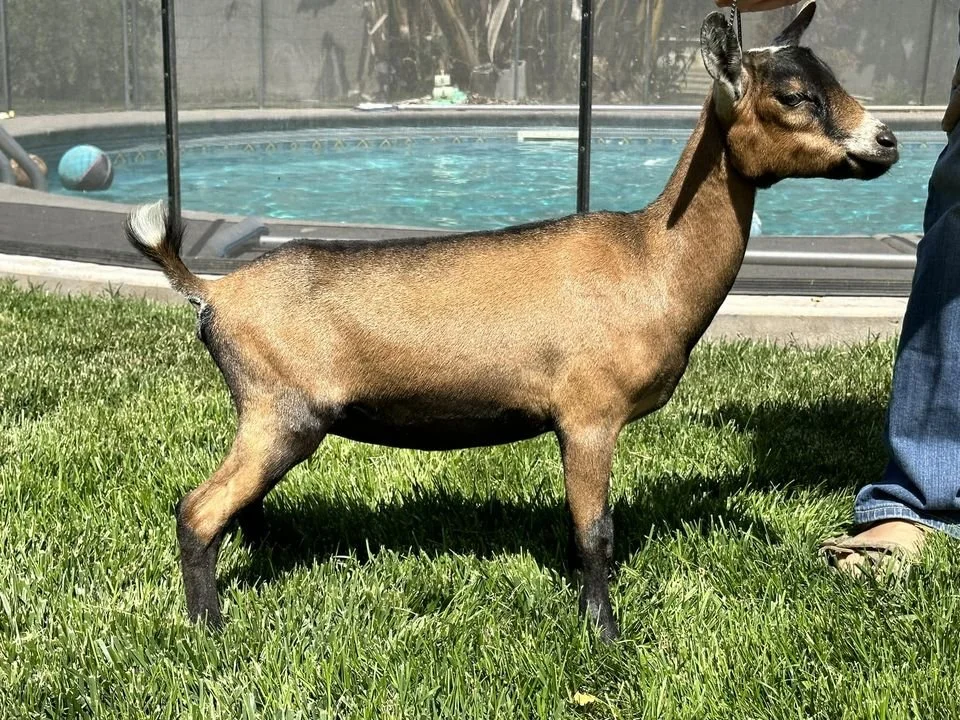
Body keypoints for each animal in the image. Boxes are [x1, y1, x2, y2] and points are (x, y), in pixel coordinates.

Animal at [126, 2, 897, 640]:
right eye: (793, 95)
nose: (885, 140)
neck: (649, 259)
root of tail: (212, 291)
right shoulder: (589, 414)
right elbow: (596, 531)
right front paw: (603, 631)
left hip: (272, 418)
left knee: (235, 506)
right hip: (279, 410)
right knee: (197, 511)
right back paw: (209, 627)